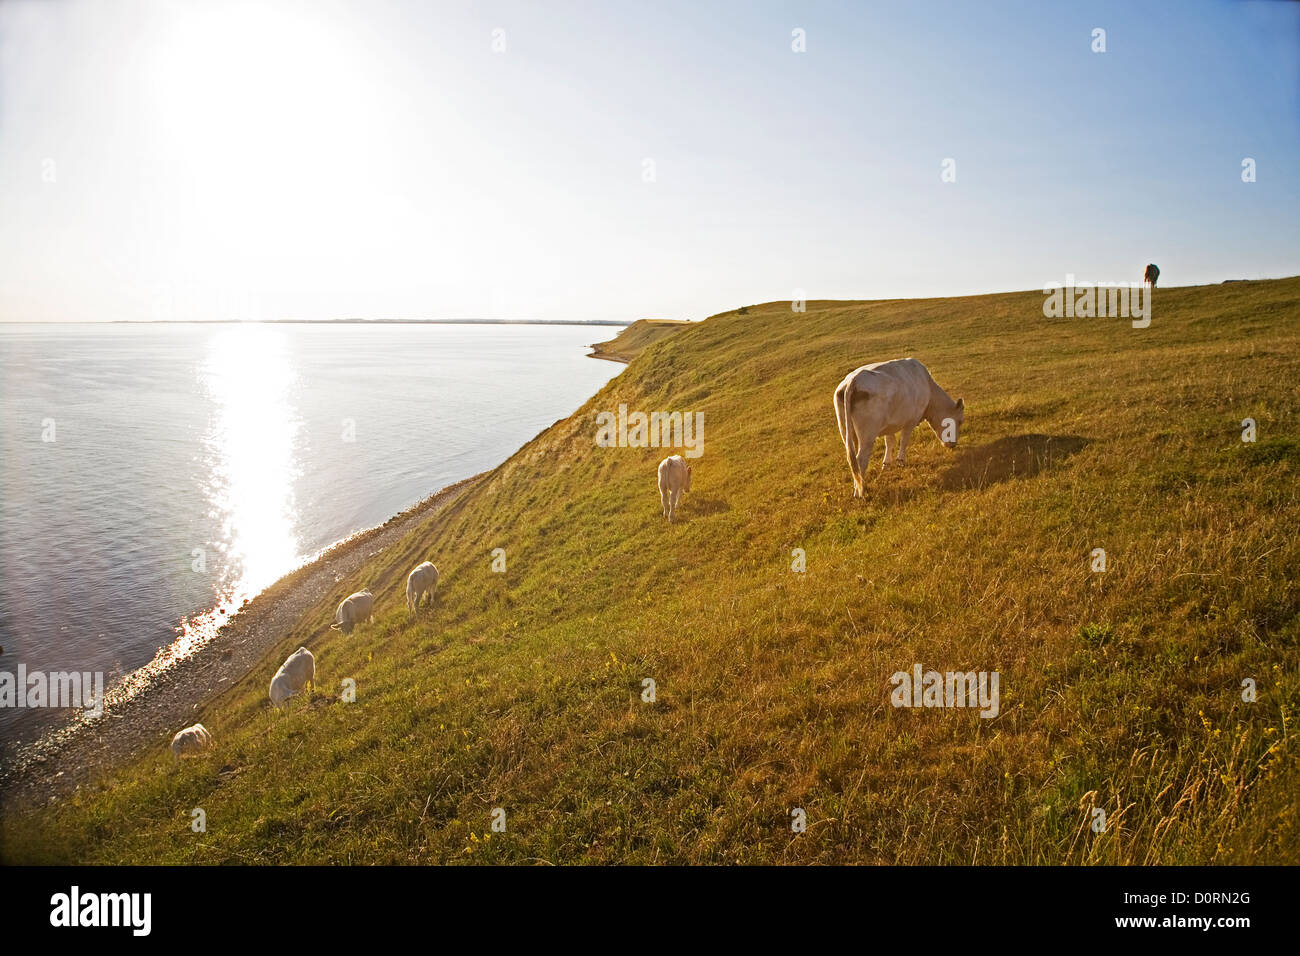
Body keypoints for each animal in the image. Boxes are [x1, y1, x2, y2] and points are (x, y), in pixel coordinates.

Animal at [834, 357, 964, 497]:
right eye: (960, 421)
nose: (953, 444)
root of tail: (852, 381)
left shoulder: (889, 425)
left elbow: (890, 442)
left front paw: (886, 463)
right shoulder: (911, 420)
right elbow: (904, 440)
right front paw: (901, 461)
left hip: (846, 430)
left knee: (852, 460)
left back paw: (857, 487)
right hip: (867, 435)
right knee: (860, 459)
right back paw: (861, 492)